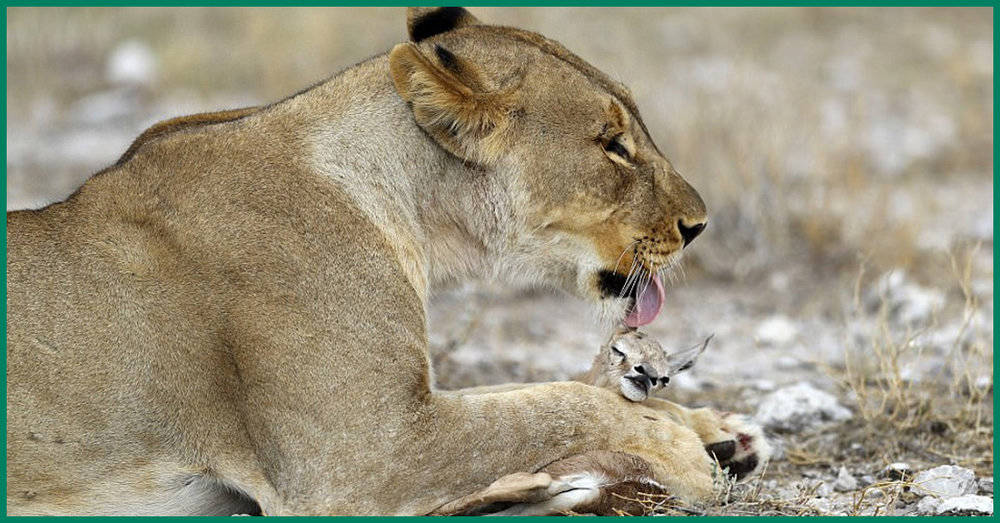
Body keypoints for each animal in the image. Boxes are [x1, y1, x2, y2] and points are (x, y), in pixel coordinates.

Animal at [6, 7, 767, 515]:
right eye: (612, 144)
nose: (698, 225)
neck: (410, 218)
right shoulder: (364, 456)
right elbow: (556, 404)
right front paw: (683, 453)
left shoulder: (405, 408)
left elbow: (533, 393)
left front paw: (714, 431)